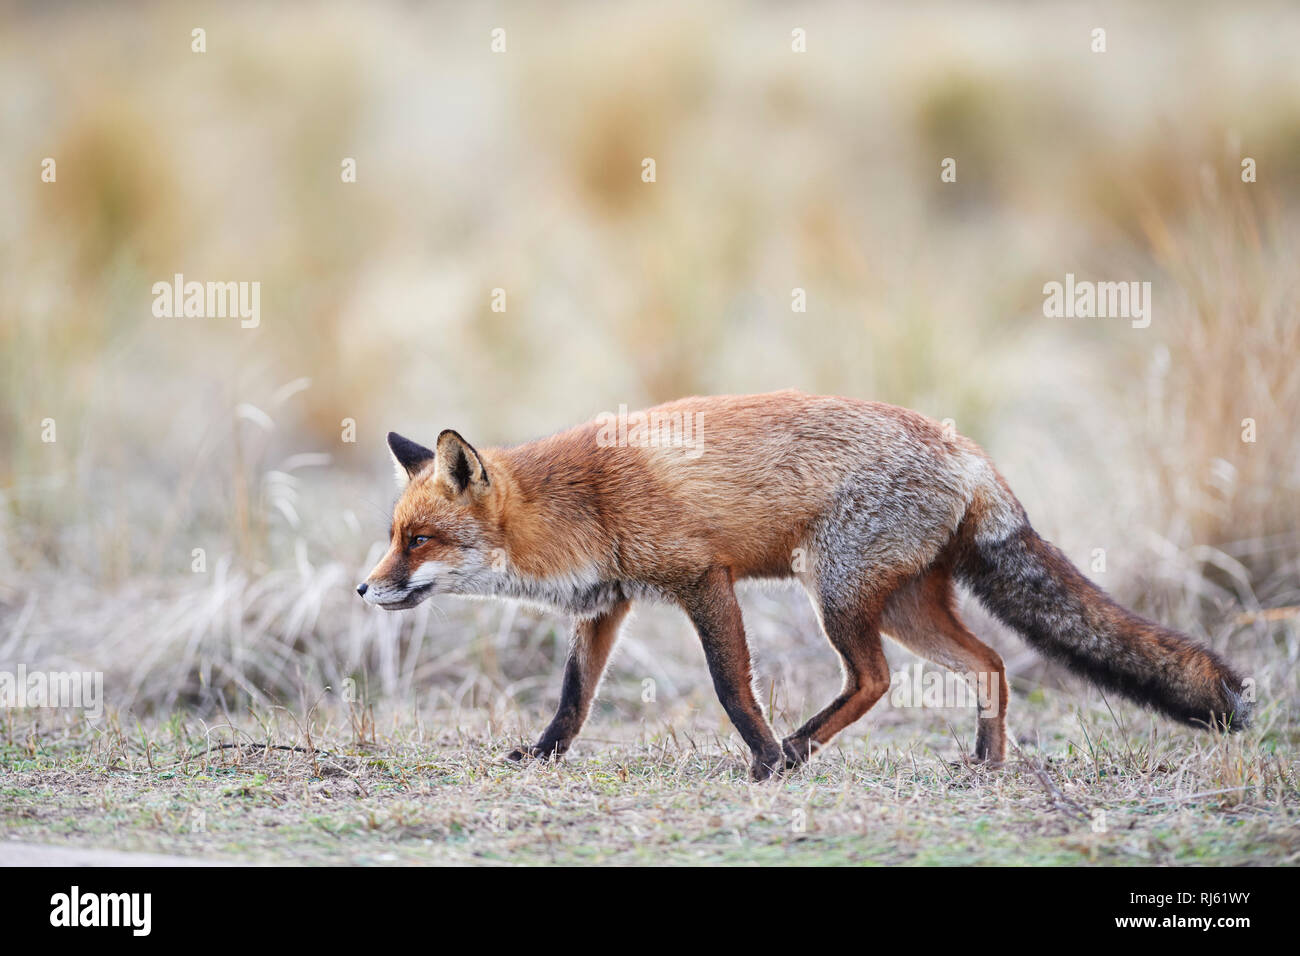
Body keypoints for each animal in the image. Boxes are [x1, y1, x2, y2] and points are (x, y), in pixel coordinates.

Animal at [358, 390, 1251, 780]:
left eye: (417, 540)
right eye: (394, 536)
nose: (365, 592)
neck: (585, 499)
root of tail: (971, 454)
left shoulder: (702, 577)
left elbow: (730, 684)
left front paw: (761, 758)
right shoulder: (609, 602)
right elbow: (574, 696)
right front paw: (541, 756)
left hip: (838, 594)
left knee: (876, 680)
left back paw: (795, 750)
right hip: (903, 605)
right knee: (990, 665)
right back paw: (987, 765)